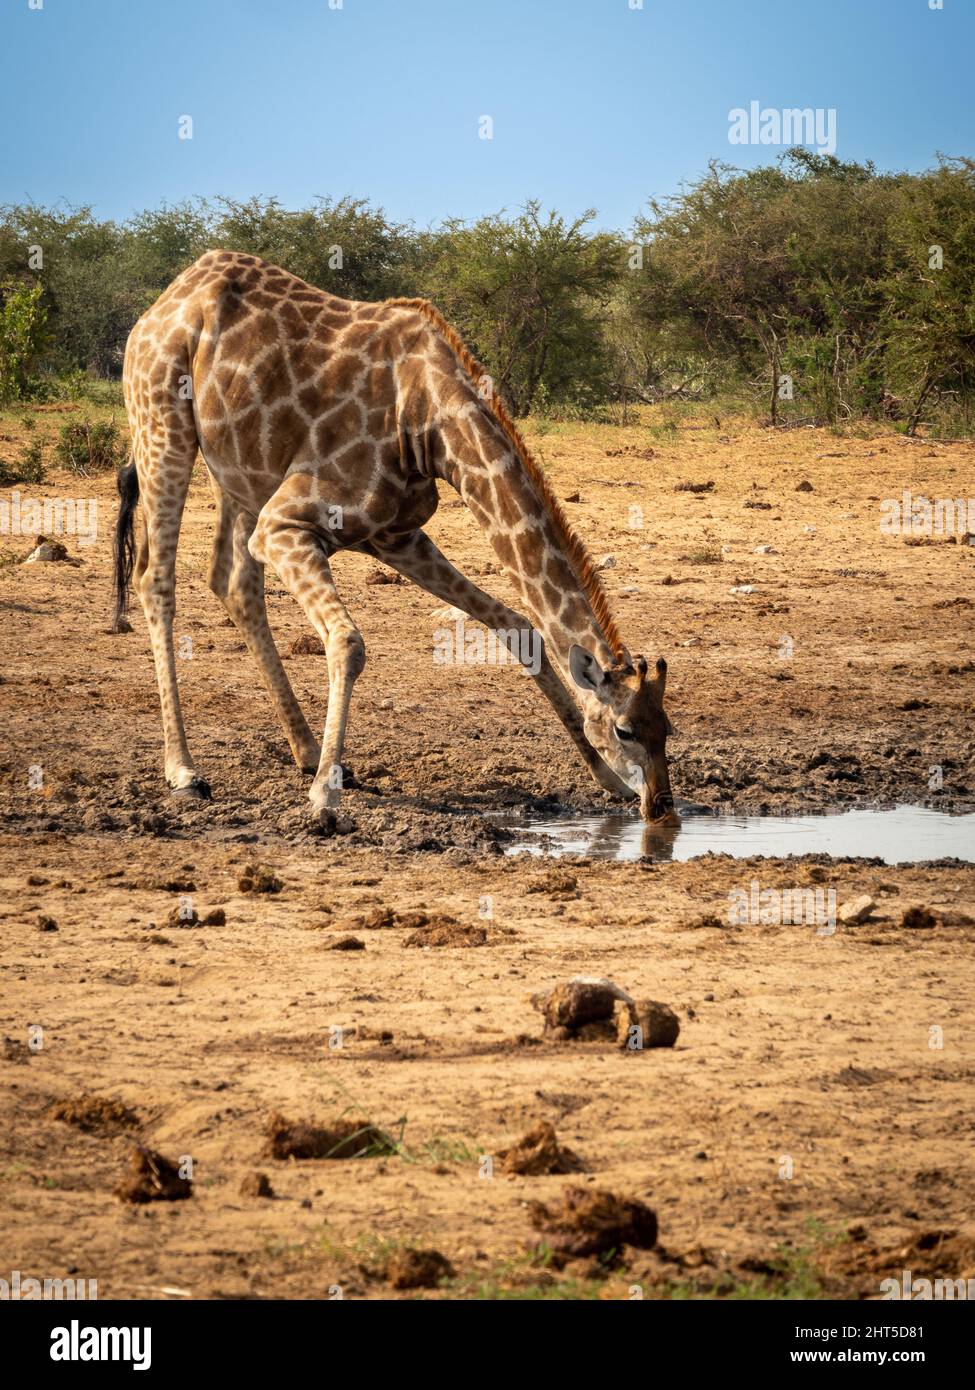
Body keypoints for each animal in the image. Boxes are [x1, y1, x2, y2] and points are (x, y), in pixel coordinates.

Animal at [115, 250, 677, 825]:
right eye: (625, 730)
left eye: (667, 729)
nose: (661, 805)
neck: (429, 422)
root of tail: (166, 300)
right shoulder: (287, 523)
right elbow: (348, 642)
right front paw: (324, 798)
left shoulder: (395, 536)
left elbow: (521, 628)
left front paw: (607, 779)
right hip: (163, 424)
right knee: (155, 579)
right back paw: (185, 772)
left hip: (239, 472)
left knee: (233, 583)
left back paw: (305, 751)